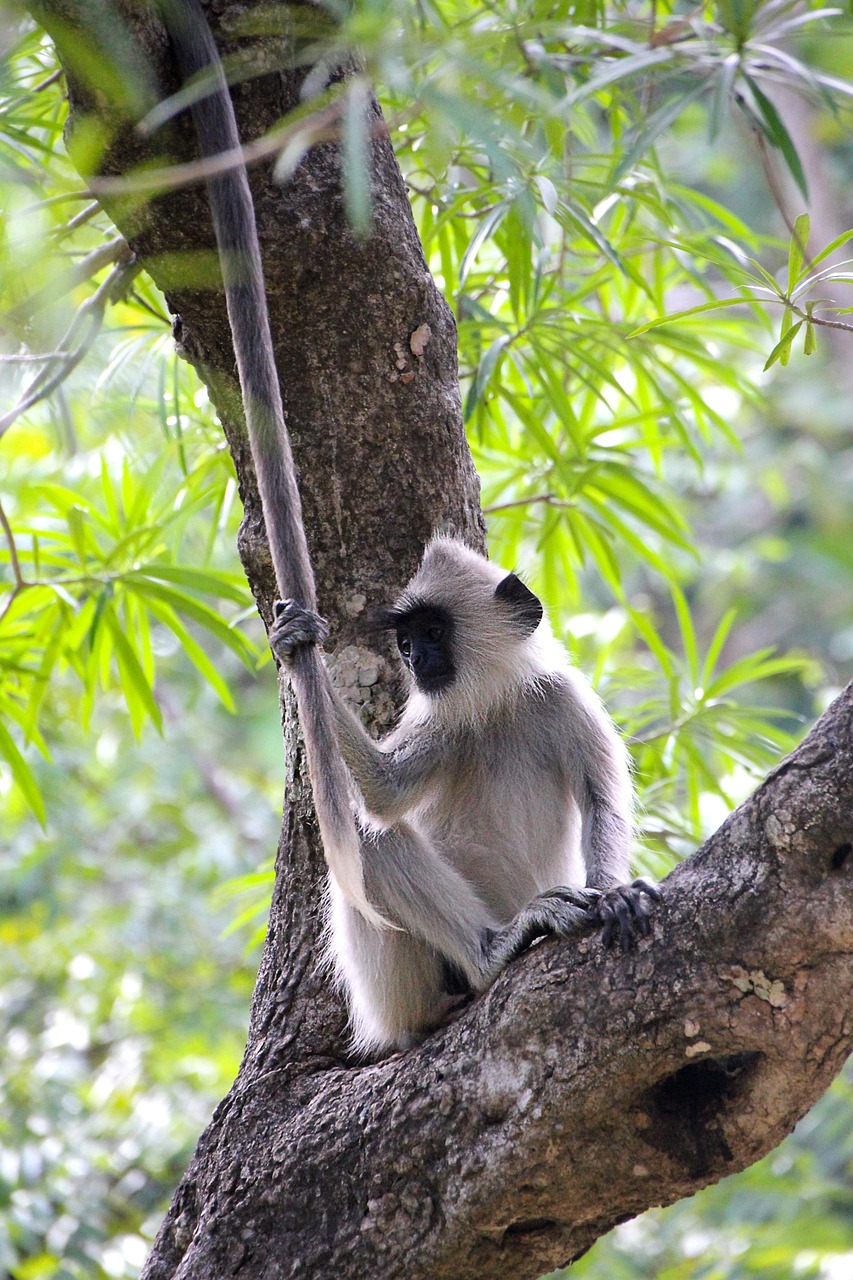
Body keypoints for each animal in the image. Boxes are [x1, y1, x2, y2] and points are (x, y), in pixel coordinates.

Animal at [270, 537, 659, 1054]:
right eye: (406, 642)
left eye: (433, 632)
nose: (414, 660)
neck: (495, 702)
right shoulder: (443, 721)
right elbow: (382, 793)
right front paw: (292, 641)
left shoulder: (562, 697)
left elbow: (601, 802)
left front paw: (614, 893)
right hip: (394, 992)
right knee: (369, 837)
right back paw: (489, 953)